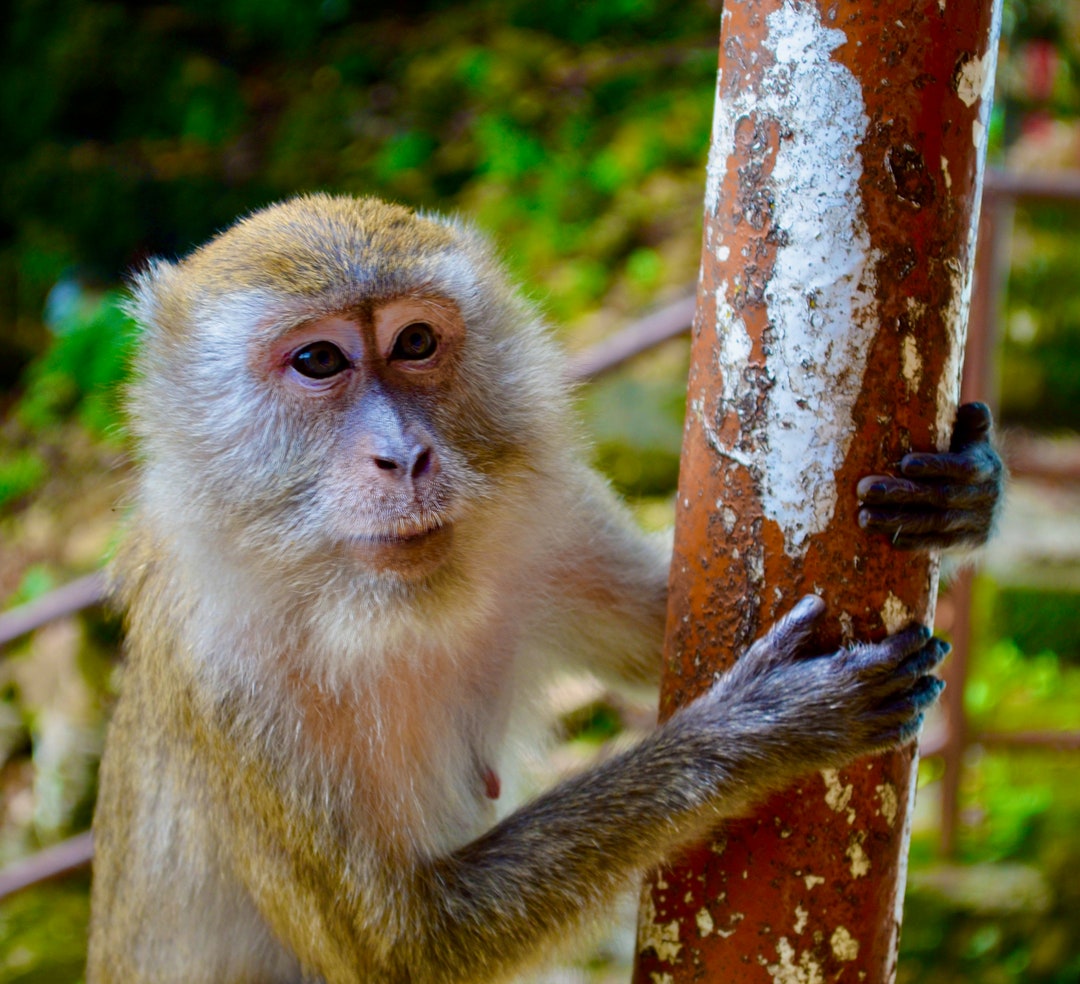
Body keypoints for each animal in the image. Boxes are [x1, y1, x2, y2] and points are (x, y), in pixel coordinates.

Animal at [87, 194, 1002, 984]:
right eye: (319, 360)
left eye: (414, 342)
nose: (404, 456)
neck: (364, 599)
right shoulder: (229, 677)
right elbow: (411, 948)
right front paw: (752, 734)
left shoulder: (543, 522)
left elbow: (668, 628)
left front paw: (969, 496)